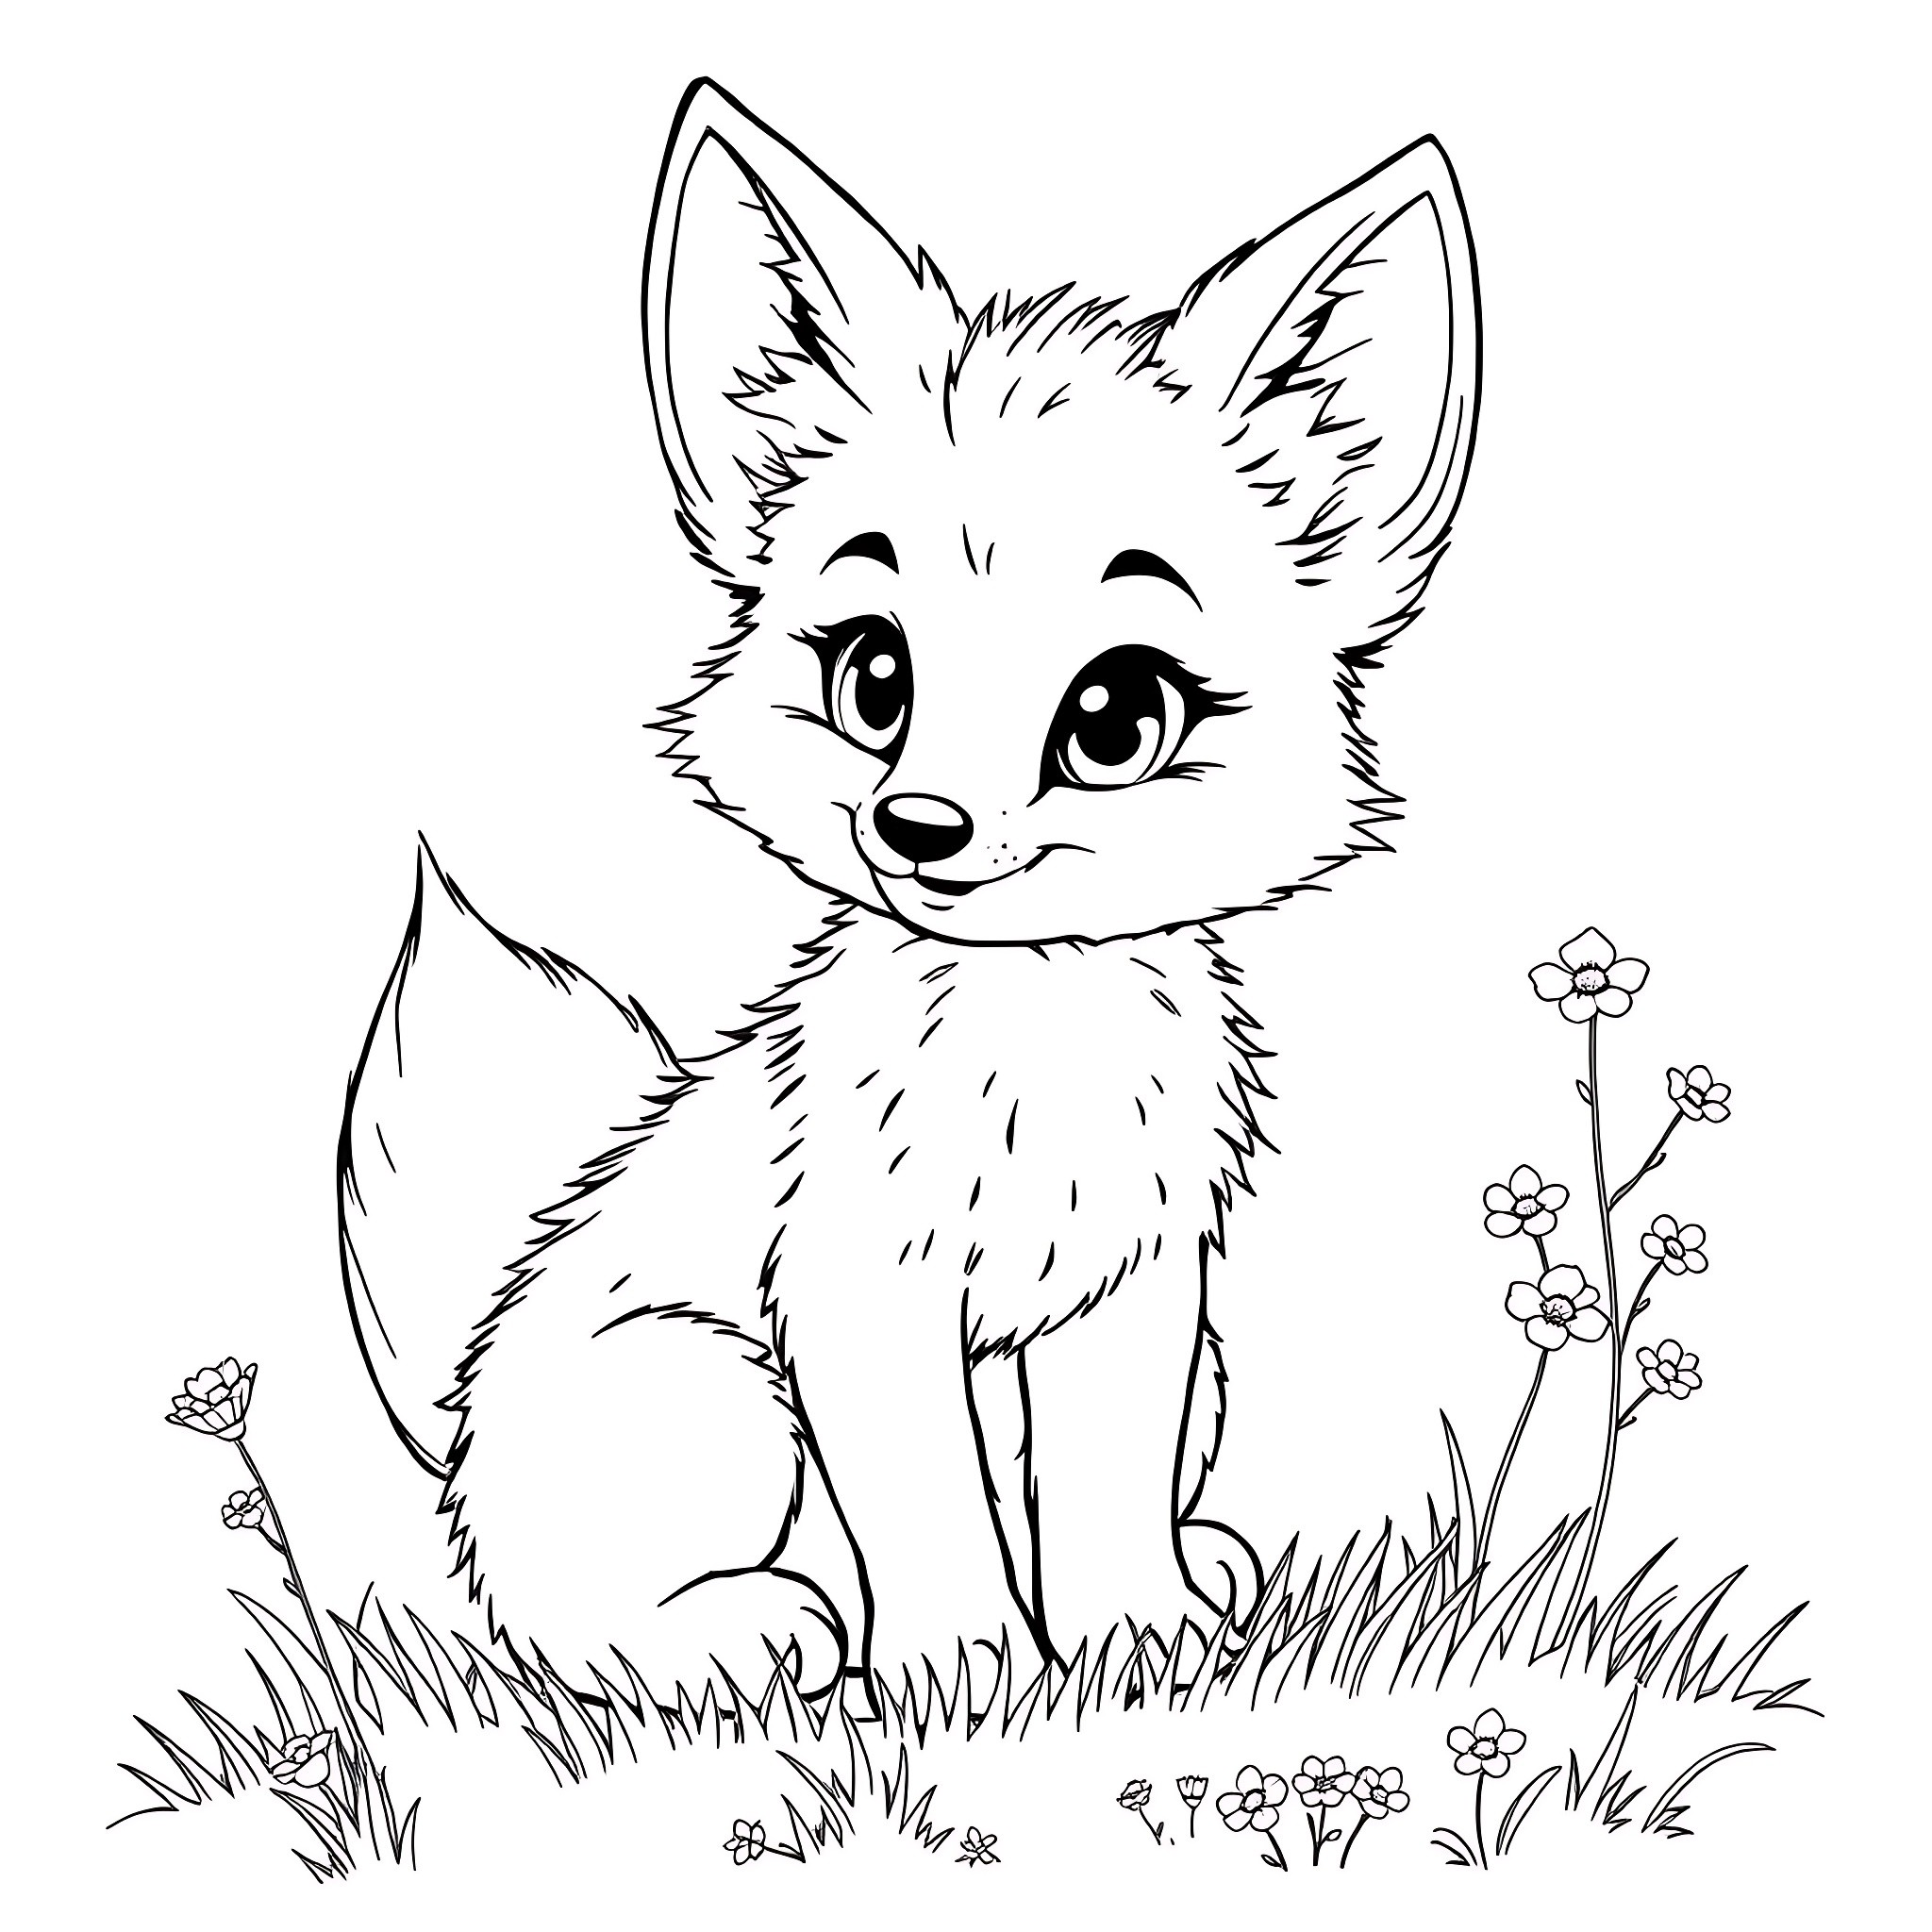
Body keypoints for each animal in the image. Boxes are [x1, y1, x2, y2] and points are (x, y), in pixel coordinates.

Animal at [337, 78, 1480, 1702]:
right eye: (874, 677)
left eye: (1118, 717)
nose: (918, 827)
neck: (1035, 1044)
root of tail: (459, 1412)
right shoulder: (855, 1298)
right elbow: (925, 1507)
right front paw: (965, 1674)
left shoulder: (1139, 1298)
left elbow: (1099, 1490)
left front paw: (1131, 1642)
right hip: (711, 1388)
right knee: (574, 1622)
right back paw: (755, 1635)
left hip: (1187, 1375)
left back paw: (1199, 1568)